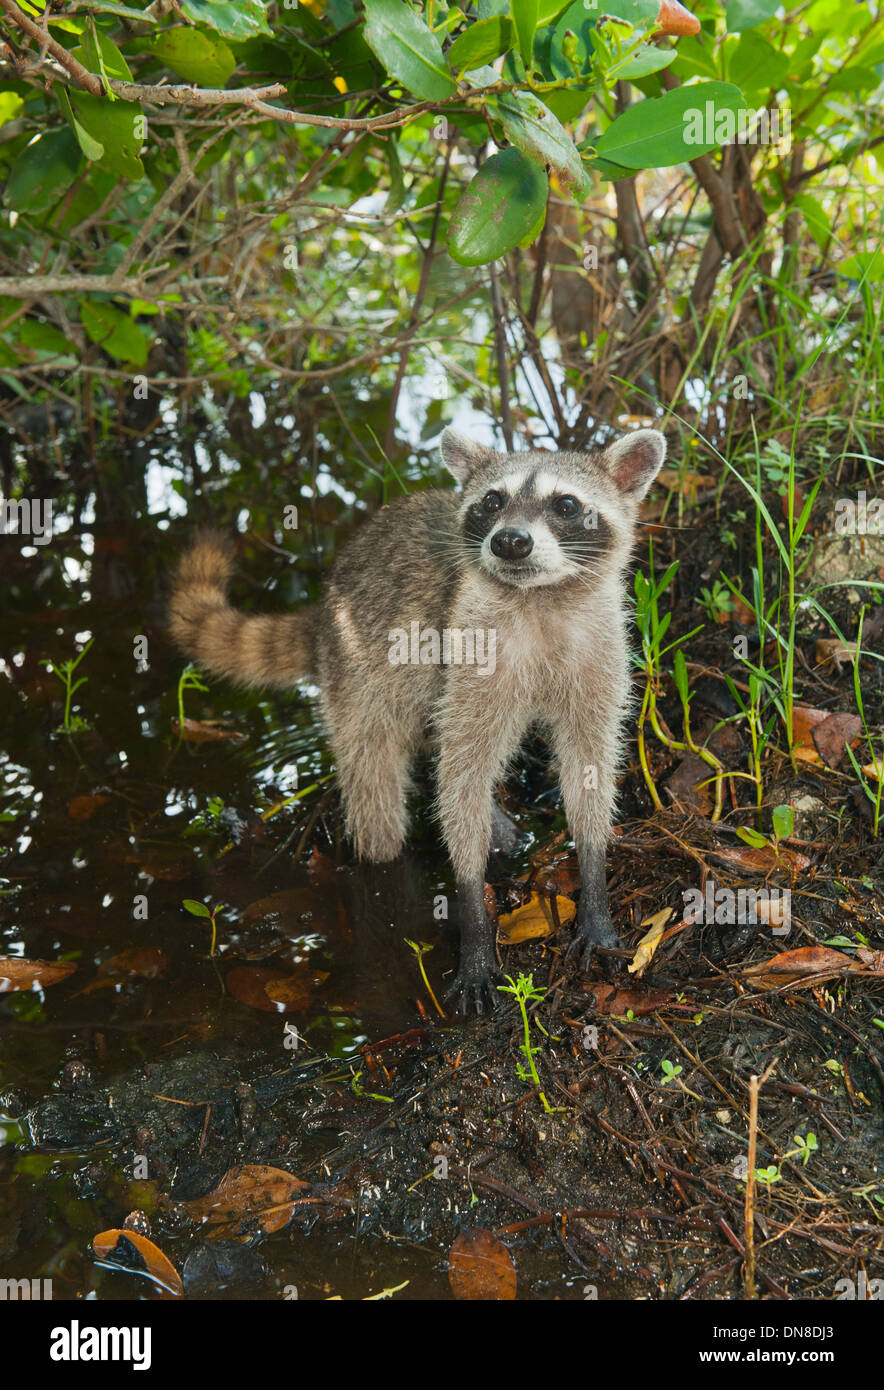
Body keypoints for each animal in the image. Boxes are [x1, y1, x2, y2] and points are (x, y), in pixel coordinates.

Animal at [169, 427, 666, 1013]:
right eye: (491, 502)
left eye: (566, 505)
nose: (510, 541)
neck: (540, 598)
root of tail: (324, 608)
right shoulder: (472, 647)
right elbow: (462, 775)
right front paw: (473, 910)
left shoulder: (599, 652)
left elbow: (590, 764)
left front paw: (593, 875)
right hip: (356, 674)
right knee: (377, 789)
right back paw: (384, 858)